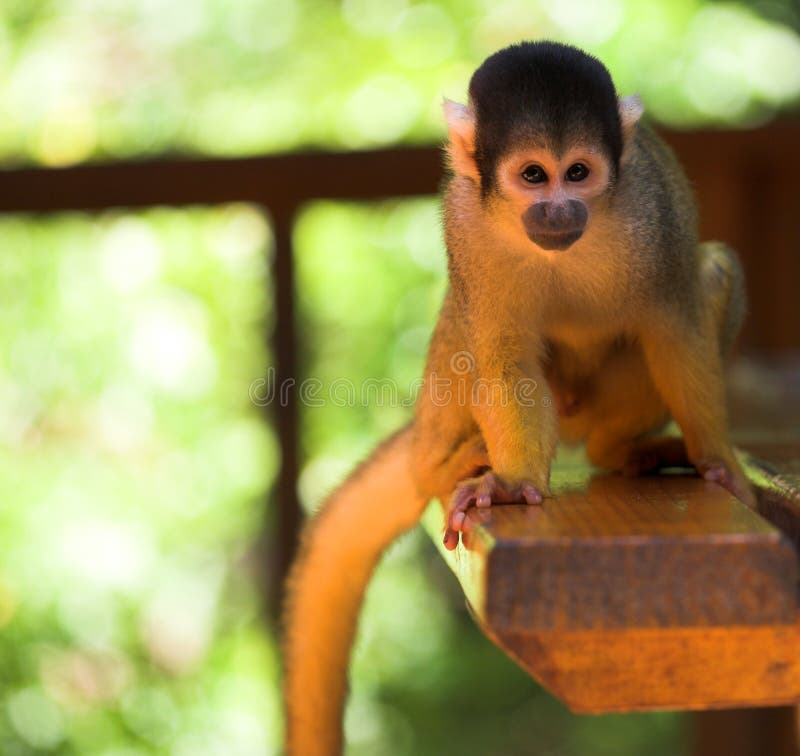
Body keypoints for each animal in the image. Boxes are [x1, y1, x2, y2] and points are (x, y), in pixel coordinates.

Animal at [283, 41, 751, 755]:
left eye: (577, 173)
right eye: (533, 175)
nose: (558, 210)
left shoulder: (654, 213)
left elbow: (676, 322)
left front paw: (717, 460)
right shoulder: (466, 223)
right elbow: (501, 352)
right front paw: (513, 484)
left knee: (711, 272)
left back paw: (619, 449)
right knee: (466, 324)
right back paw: (440, 465)